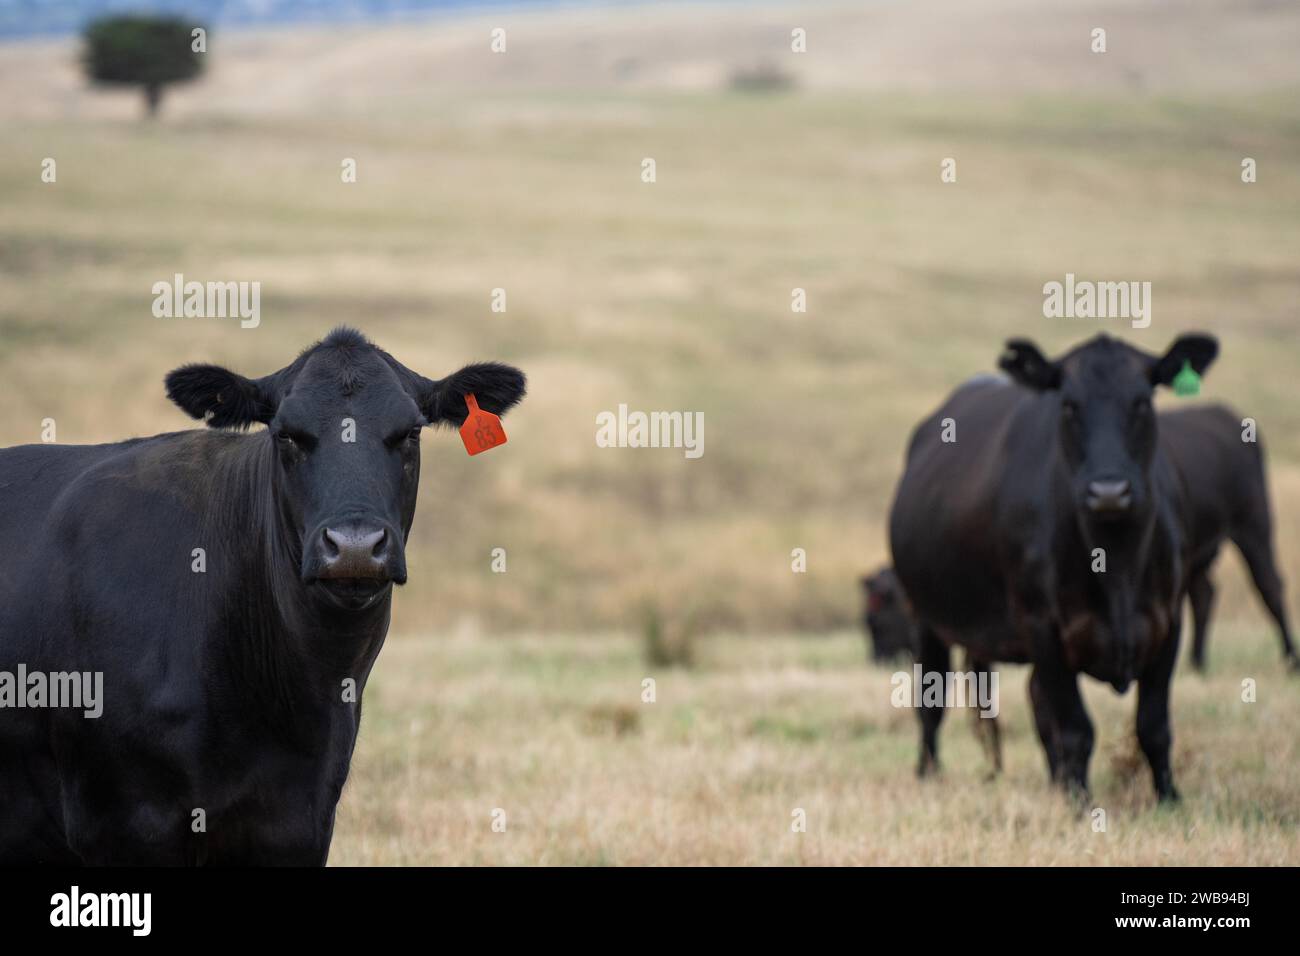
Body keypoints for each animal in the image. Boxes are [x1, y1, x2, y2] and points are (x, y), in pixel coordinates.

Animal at [888, 333, 1217, 801]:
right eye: (1069, 405)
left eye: (1141, 401)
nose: (1108, 491)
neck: (1116, 563)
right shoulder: (1042, 625)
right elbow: (1076, 728)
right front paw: (1080, 805)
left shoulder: (1168, 620)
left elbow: (1154, 726)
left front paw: (1169, 800)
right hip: (926, 618)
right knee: (930, 703)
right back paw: (928, 774)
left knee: (1036, 701)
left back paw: (1054, 783)